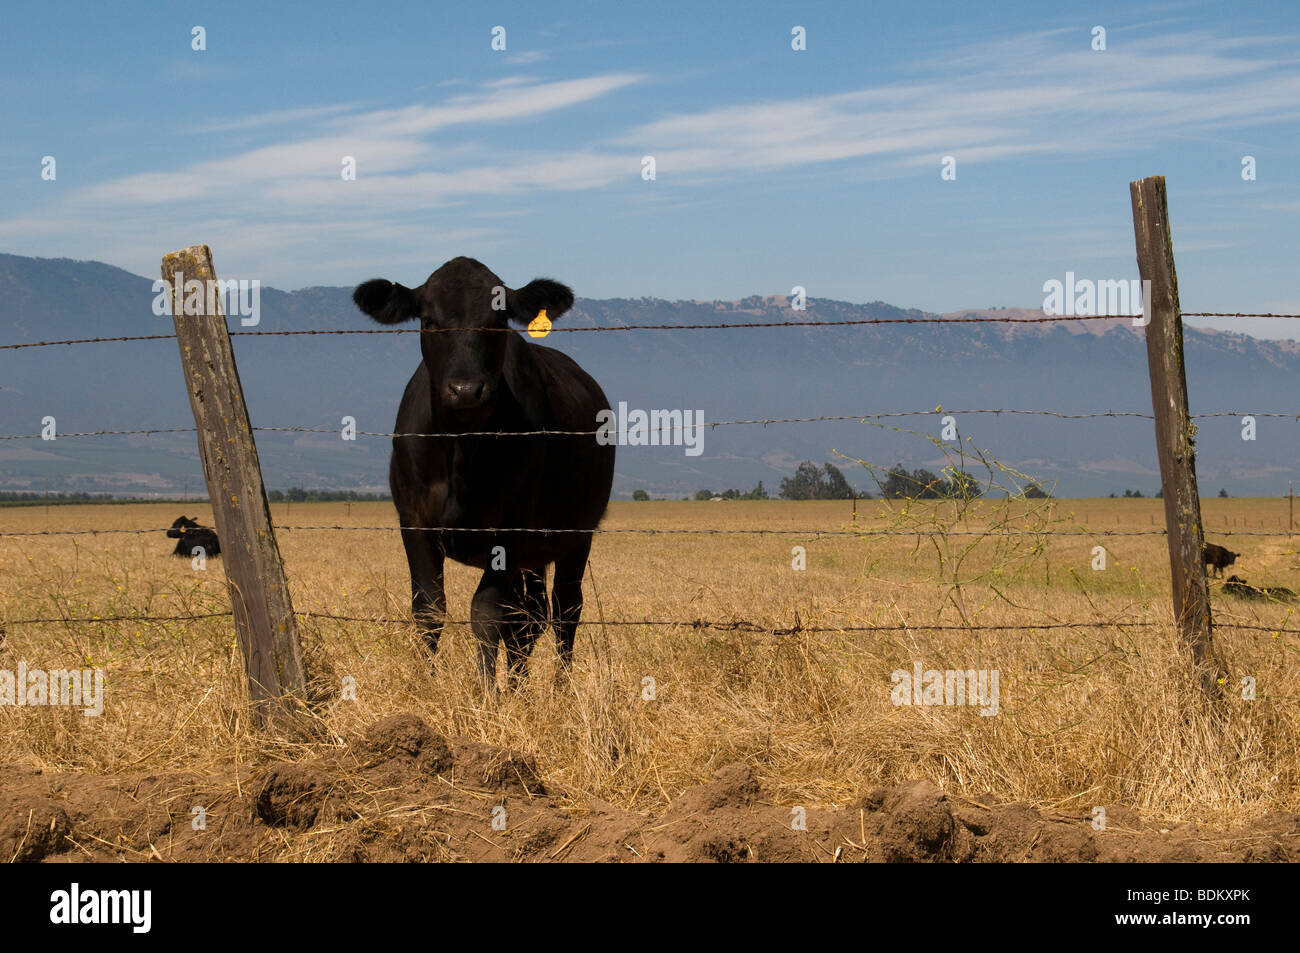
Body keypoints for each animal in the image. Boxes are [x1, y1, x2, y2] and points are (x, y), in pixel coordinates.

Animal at [352, 257, 615, 691]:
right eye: (429, 320)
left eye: (497, 320)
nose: (466, 389)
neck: (461, 451)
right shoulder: (414, 522)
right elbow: (428, 608)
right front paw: (429, 686)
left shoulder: (510, 529)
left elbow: (487, 613)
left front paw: (488, 692)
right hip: (535, 555)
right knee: (530, 616)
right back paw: (521, 688)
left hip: (577, 533)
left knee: (564, 609)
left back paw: (559, 688)